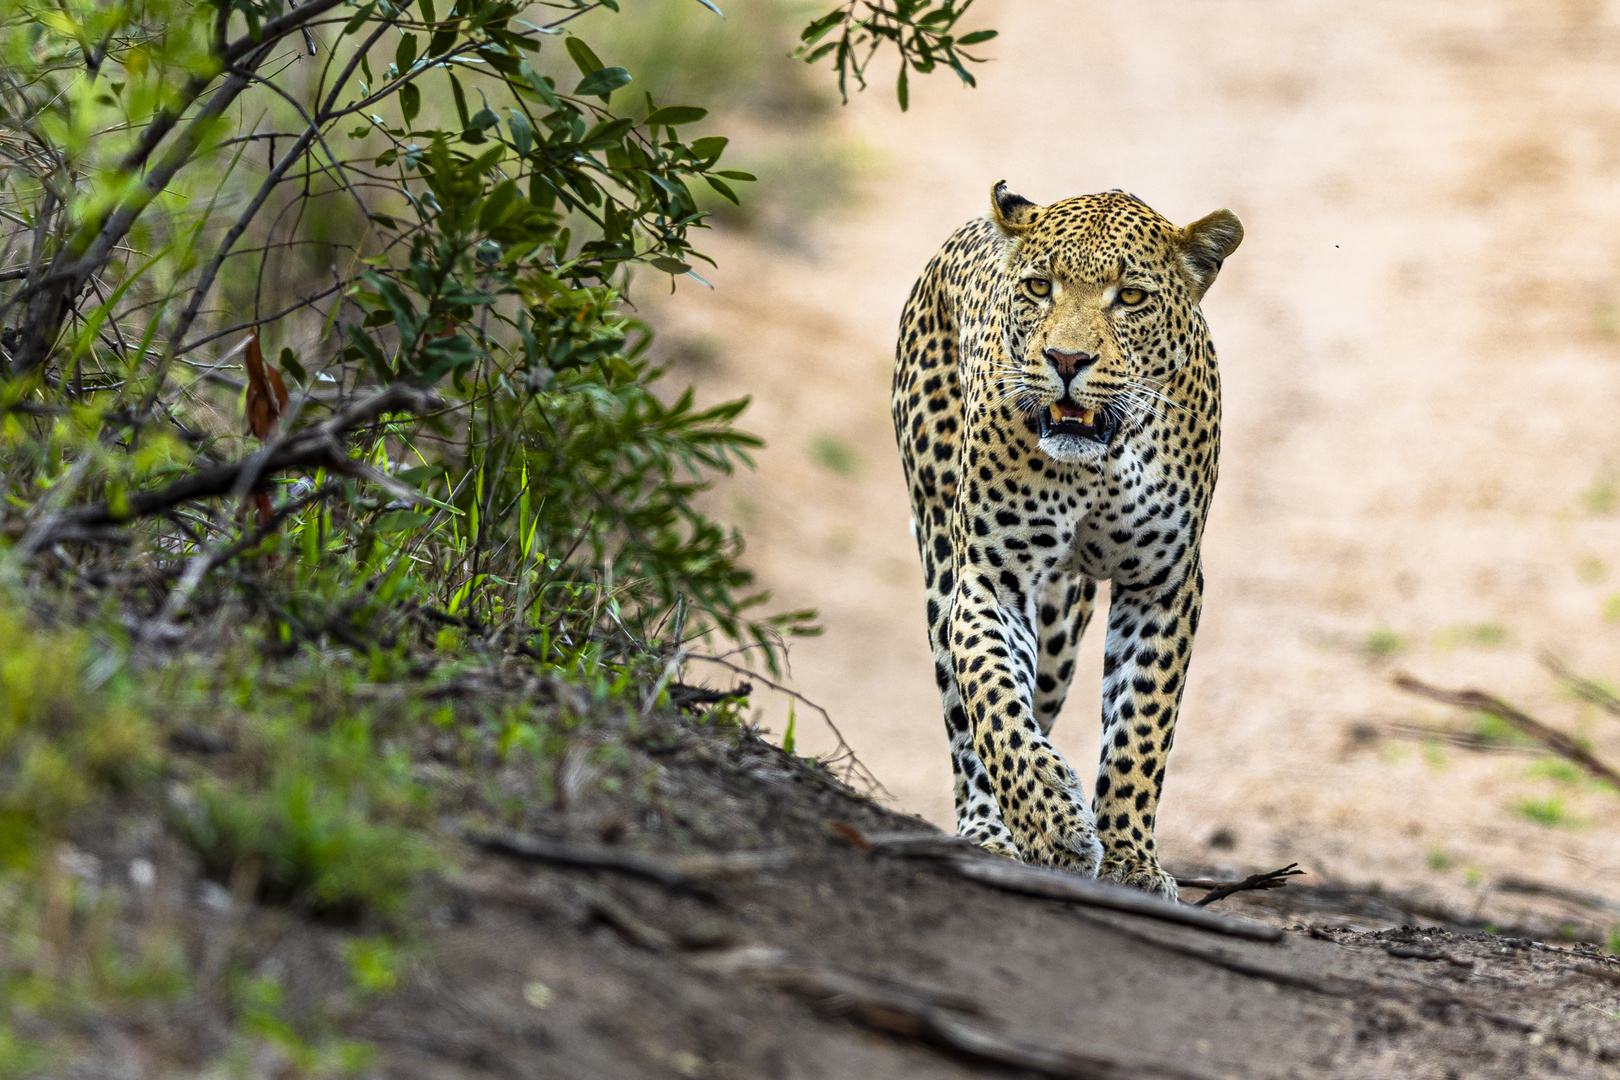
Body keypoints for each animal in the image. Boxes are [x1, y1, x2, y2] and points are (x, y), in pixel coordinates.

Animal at [891, 181, 1242, 899]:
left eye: (1130, 296)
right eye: (1038, 287)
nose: (1067, 360)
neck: (1102, 457)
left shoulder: (1163, 586)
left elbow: (1141, 726)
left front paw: (1133, 861)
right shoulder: (992, 580)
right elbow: (993, 699)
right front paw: (1052, 824)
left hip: (1059, 622)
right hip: (946, 559)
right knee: (965, 714)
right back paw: (990, 831)